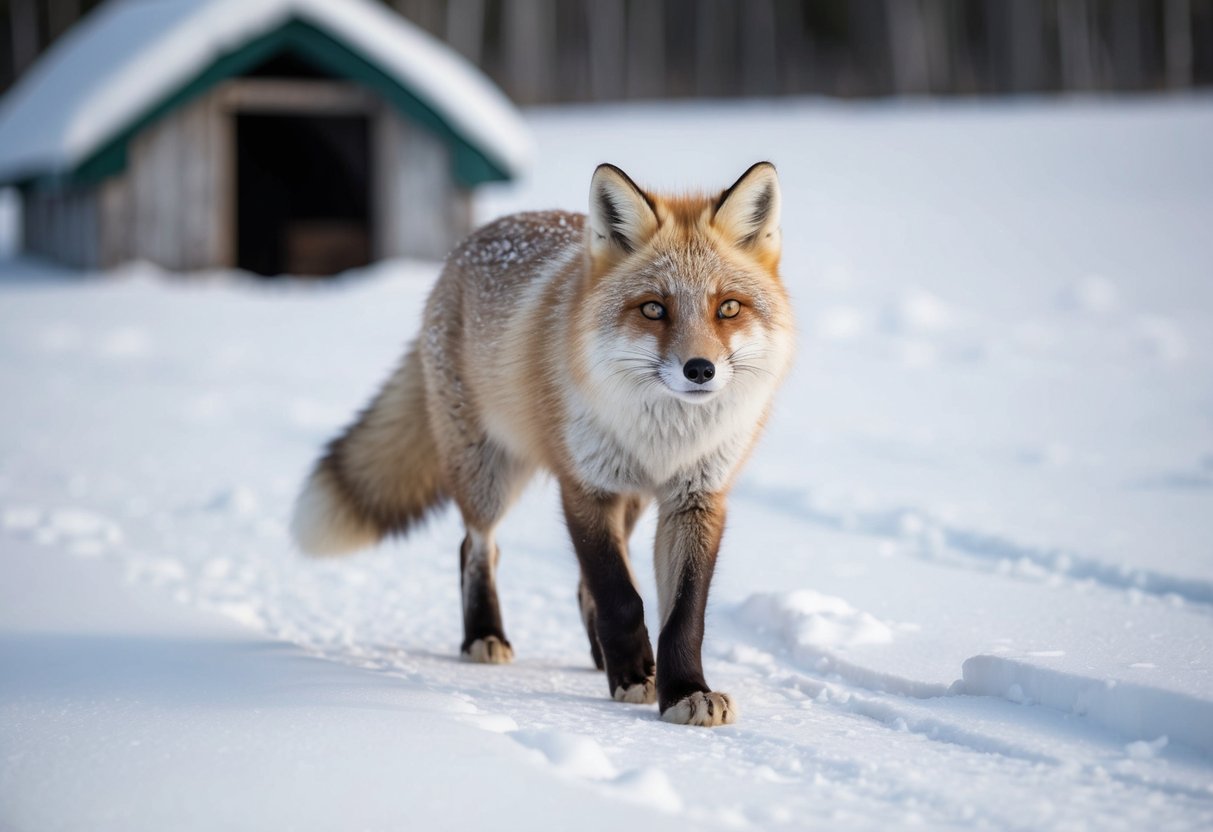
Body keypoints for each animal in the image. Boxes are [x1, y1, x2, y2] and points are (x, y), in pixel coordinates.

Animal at [291, 161, 794, 726]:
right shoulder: (584, 486)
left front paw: (682, 689)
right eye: (653, 309)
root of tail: (470, 242)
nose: (700, 369)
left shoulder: (697, 498)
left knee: (578, 582)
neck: (664, 440)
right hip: (488, 474)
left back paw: (602, 657)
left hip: (630, 500)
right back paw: (485, 635)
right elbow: (620, 597)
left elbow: (682, 615)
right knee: (477, 546)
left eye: (728, 307)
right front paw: (634, 676)